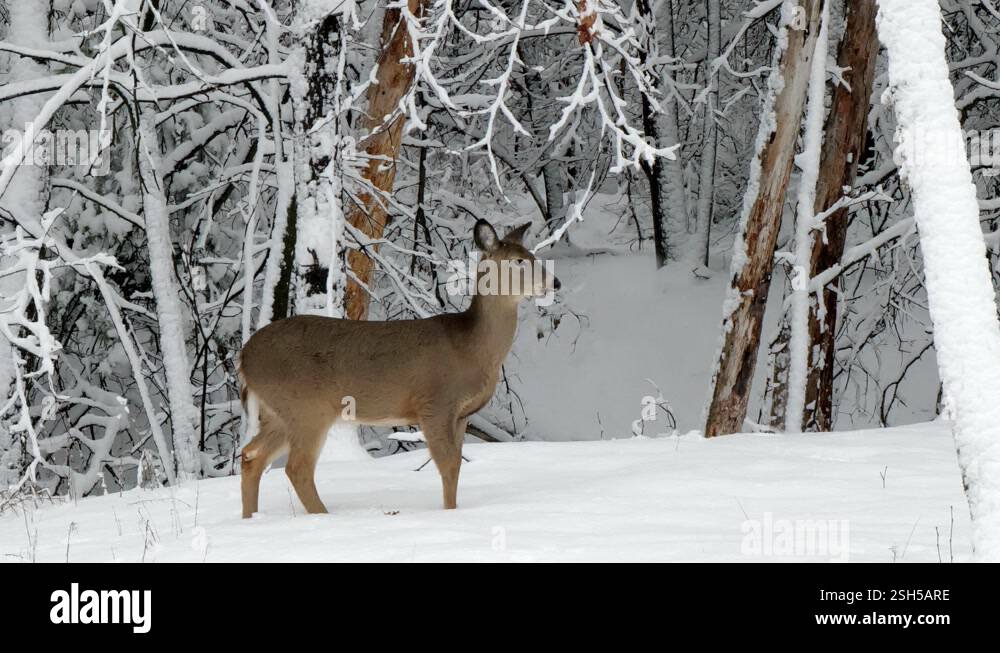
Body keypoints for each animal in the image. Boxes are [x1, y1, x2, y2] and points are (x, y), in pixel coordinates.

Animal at [237, 219, 560, 518]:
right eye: (519, 260)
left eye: (531, 254)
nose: (555, 283)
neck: (471, 348)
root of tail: (244, 358)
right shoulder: (435, 403)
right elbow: (448, 465)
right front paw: (451, 514)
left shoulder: (461, 415)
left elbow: (456, 465)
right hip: (305, 406)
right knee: (296, 467)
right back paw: (323, 516)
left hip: (277, 412)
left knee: (251, 455)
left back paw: (250, 517)